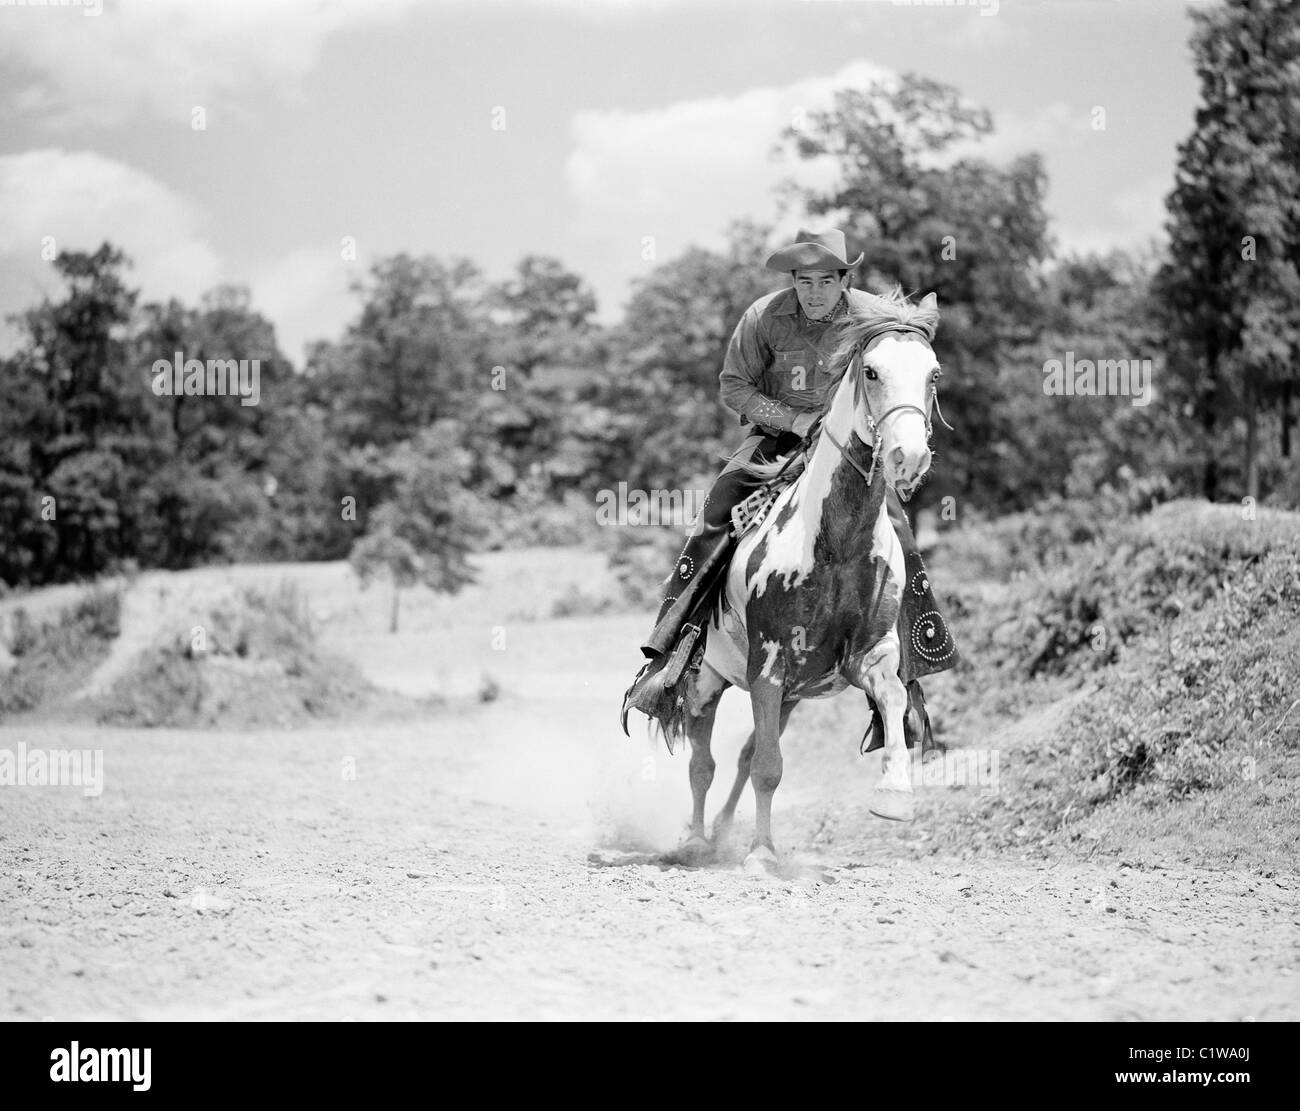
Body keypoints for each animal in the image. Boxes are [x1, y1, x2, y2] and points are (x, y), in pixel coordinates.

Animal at [657, 287, 946, 874]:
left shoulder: (867, 656)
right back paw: (697, 840)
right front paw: (763, 854)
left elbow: (893, 699)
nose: (908, 457)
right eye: (872, 371)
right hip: (706, 679)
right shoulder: (767, 663)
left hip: (789, 694)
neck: (836, 540)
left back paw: (721, 832)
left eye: (932, 374)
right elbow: (769, 767)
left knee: (741, 756)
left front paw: (894, 798)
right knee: (704, 761)